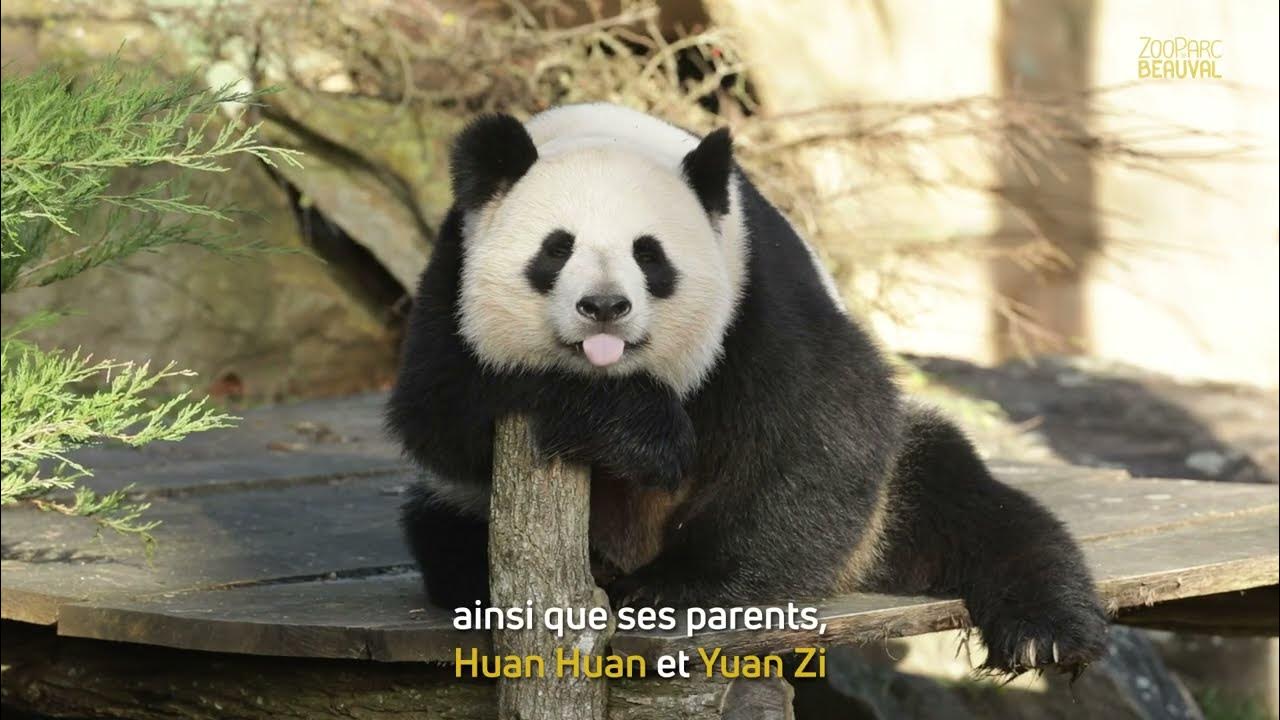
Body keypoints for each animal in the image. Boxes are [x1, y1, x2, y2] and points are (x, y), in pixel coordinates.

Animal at [387, 103, 1108, 676]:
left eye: (649, 254)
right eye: (556, 249)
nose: (605, 307)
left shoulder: (759, 290)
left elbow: (827, 428)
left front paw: (679, 586)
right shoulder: (451, 272)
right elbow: (440, 407)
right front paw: (632, 429)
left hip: (889, 509)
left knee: (968, 506)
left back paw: (1047, 632)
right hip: (468, 509)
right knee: (443, 530)